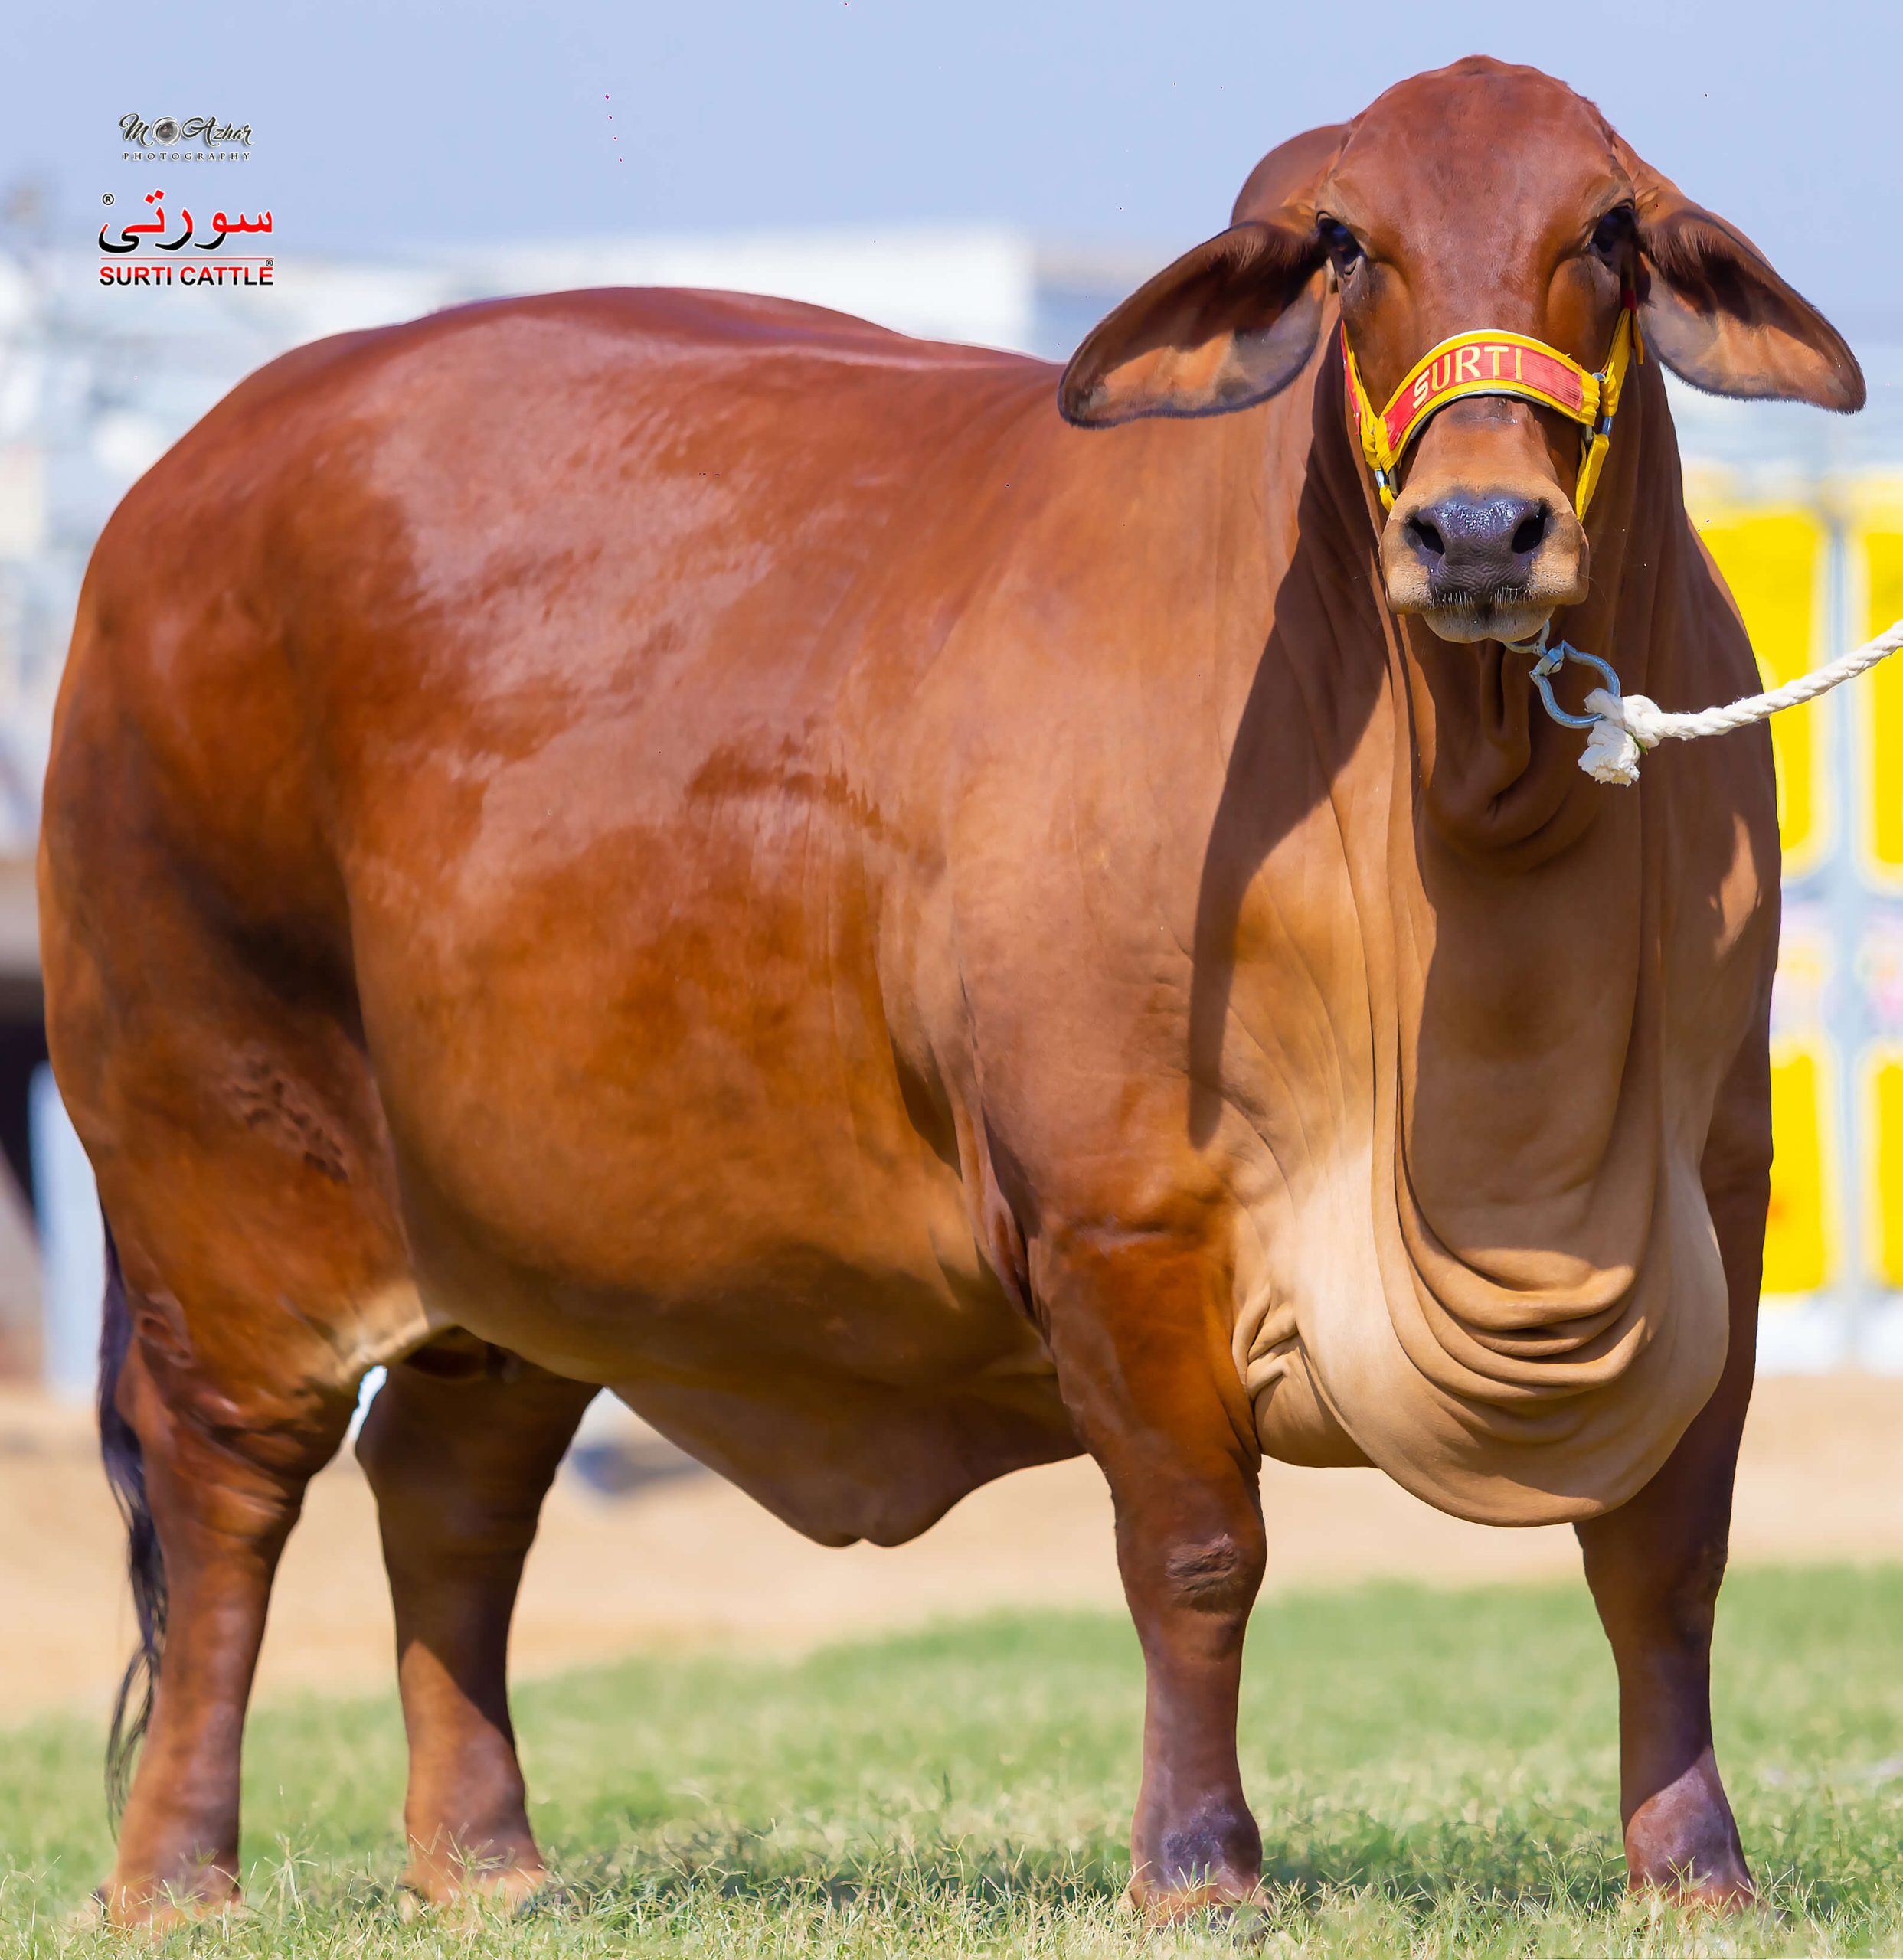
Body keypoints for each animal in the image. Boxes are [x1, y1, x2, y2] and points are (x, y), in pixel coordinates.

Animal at [40, 54, 1862, 1927]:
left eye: (1612, 229)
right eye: (1348, 242)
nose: (1480, 525)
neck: (1480, 831)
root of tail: (176, 486)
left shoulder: (1712, 1198)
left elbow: (1666, 1556)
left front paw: (1694, 1865)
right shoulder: (1122, 1223)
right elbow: (1198, 1554)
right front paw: (1196, 1865)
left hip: (533, 1232)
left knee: (449, 1487)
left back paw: (486, 1862)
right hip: (208, 1166)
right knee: (227, 1495)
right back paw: (177, 1871)